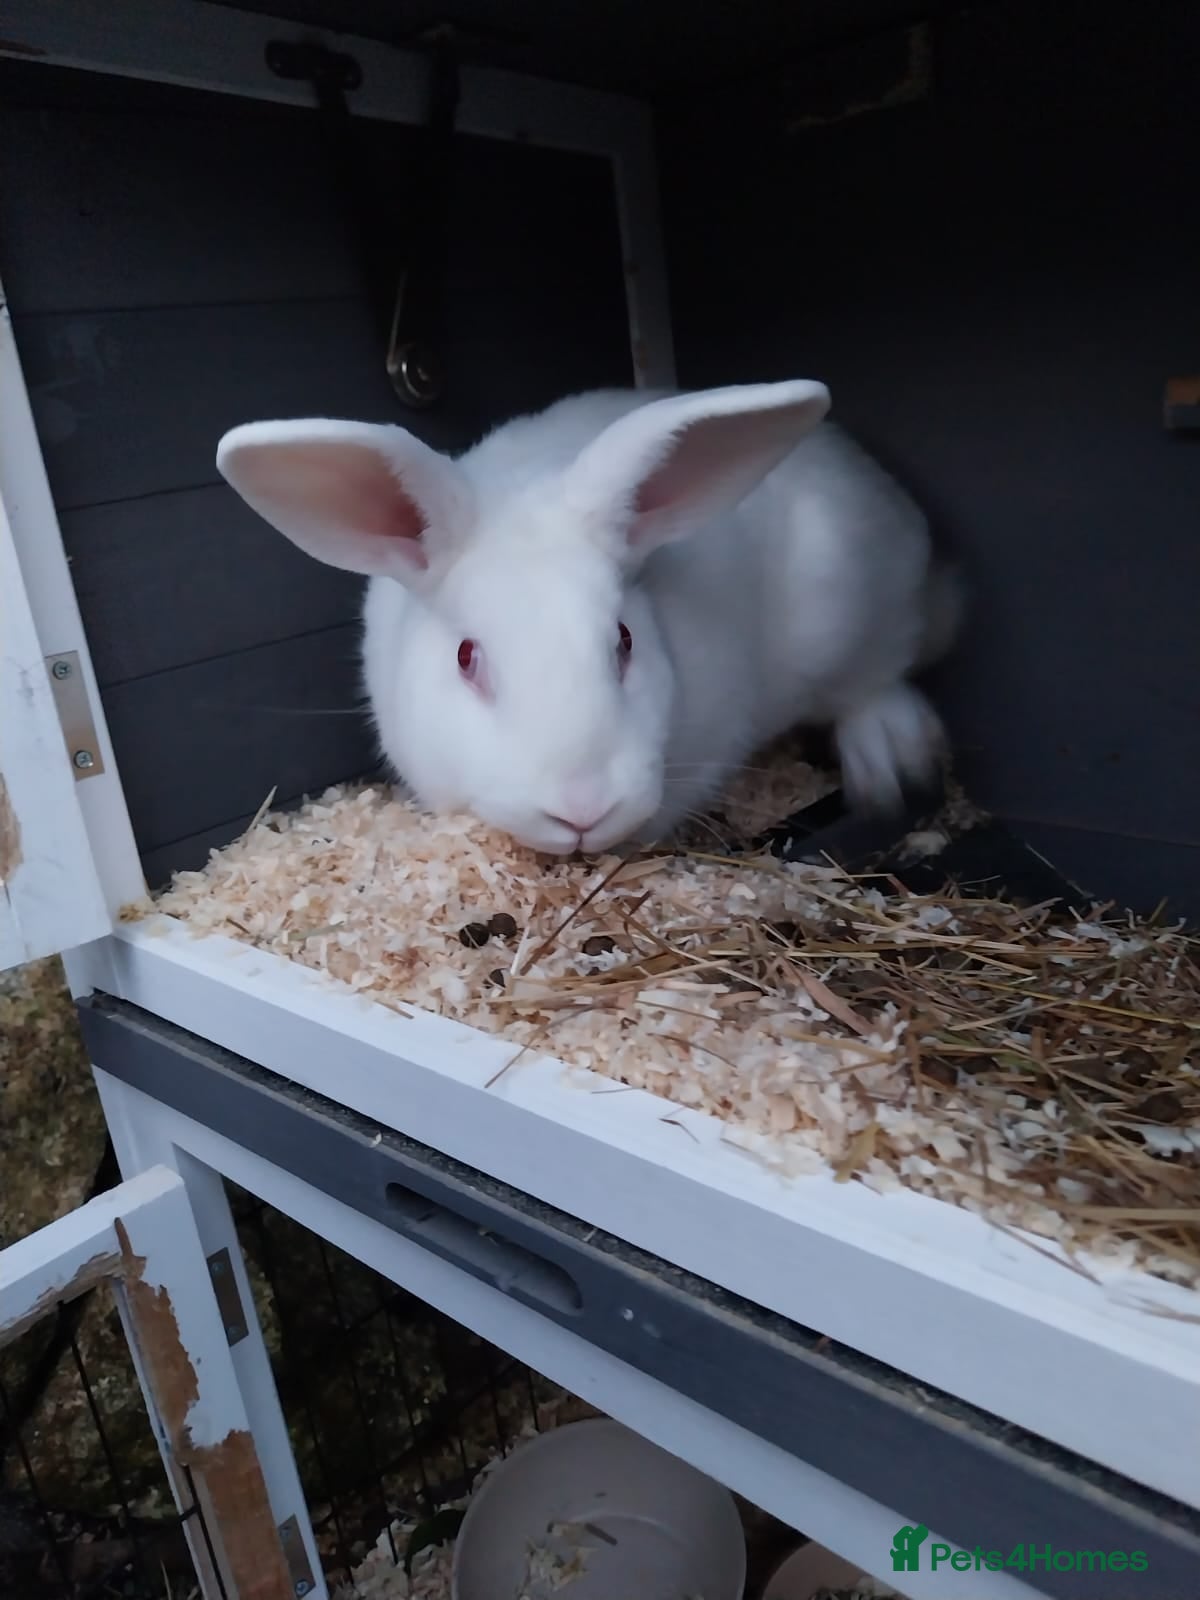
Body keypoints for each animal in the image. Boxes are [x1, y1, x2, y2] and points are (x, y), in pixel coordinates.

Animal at [216, 381, 961, 857]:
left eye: (624, 641)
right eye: (466, 657)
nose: (581, 810)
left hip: (855, 606)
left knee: (876, 679)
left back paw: (888, 762)